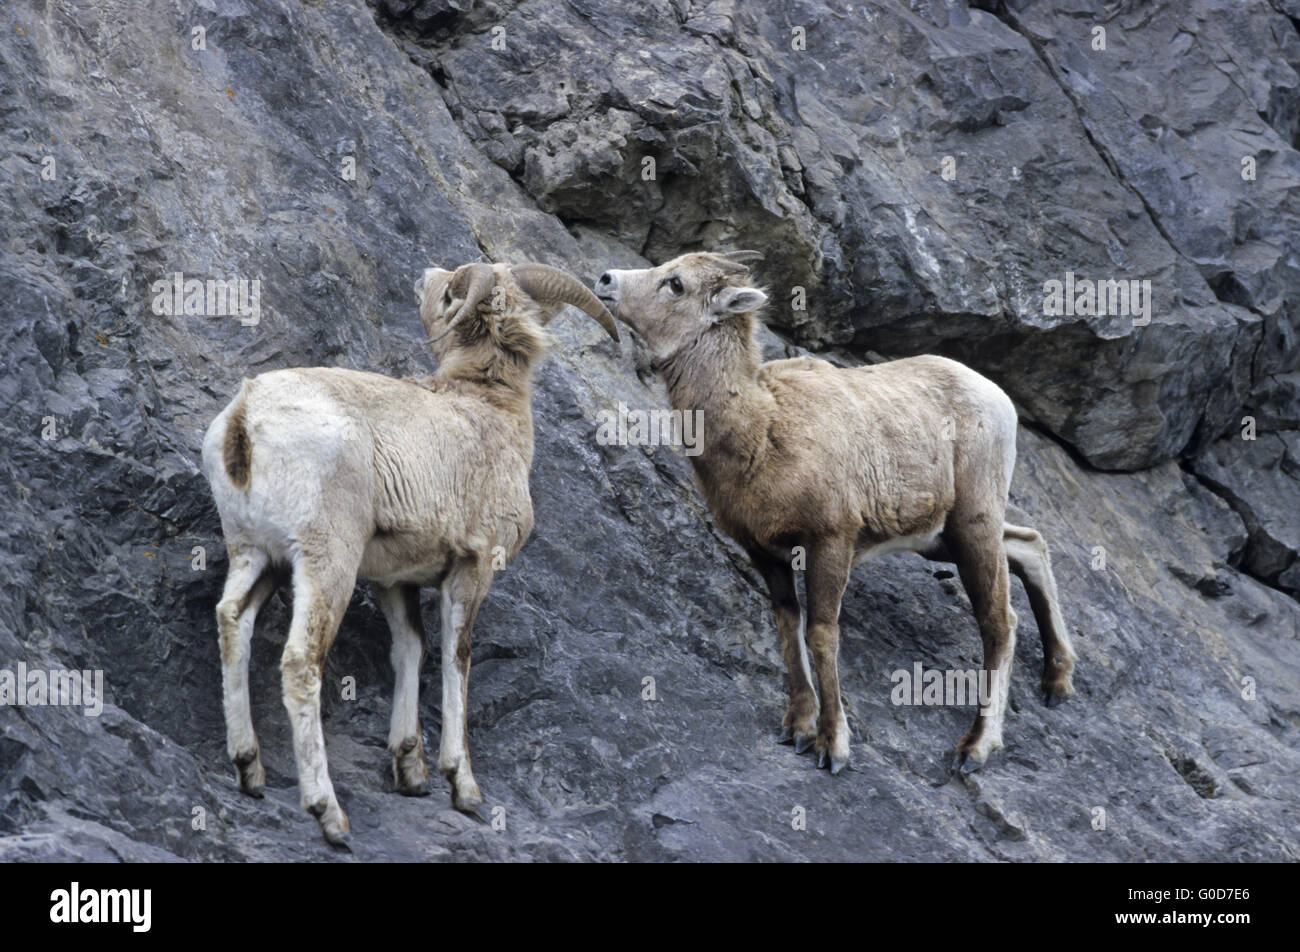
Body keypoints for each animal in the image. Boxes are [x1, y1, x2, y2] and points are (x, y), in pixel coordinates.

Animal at [201, 260, 619, 846]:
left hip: (258, 555)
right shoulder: (470, 570)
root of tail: (245, 413)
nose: (427, 273)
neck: (487, 411)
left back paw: (249, 771)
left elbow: (410, 651)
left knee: (232, 619)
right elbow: (455, 660)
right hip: (326, 562)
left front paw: (410, 773)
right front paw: (462, 787)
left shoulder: (394, 580)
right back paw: (330, 816)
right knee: (301, 662)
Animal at [594, 251, 1076, 774]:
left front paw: (832, 746)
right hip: (940, 538)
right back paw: (1057, 682)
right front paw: (797, 728)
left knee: (999, 621)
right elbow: (789, 628)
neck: (761, 431)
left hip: (972, 525)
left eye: (676, 284)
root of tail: (996, 397)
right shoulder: (766, 552)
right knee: (1029, 545)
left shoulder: (830, 541)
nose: (606, 280)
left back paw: (975, 748)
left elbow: (822, 636)